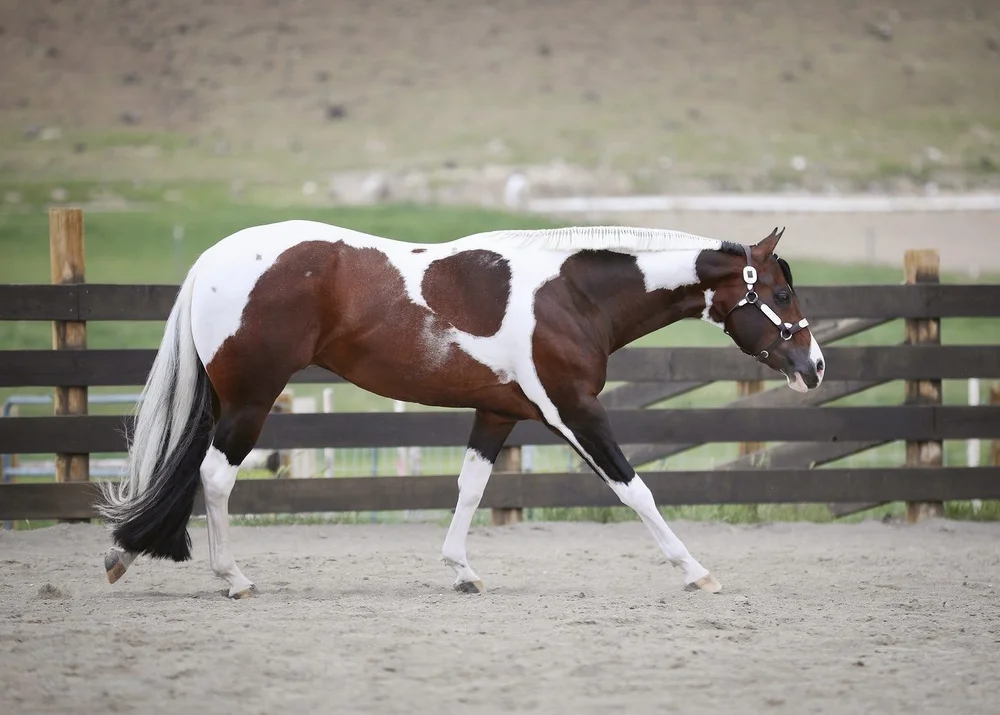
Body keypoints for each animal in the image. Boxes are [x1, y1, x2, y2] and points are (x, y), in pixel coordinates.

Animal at [99, 222, 824, 599]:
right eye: (781, 293)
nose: (815, 366)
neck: (572, 295)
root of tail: (212, 259)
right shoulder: (574, 411)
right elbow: (635, 489)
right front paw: (697, 570)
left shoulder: (497, 414)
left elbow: (470, 489)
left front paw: (463, 570)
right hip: (251, 399)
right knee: (215, 478)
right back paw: (234, 578)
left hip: (228, 399)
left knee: (189, 473)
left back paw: (126, 555)